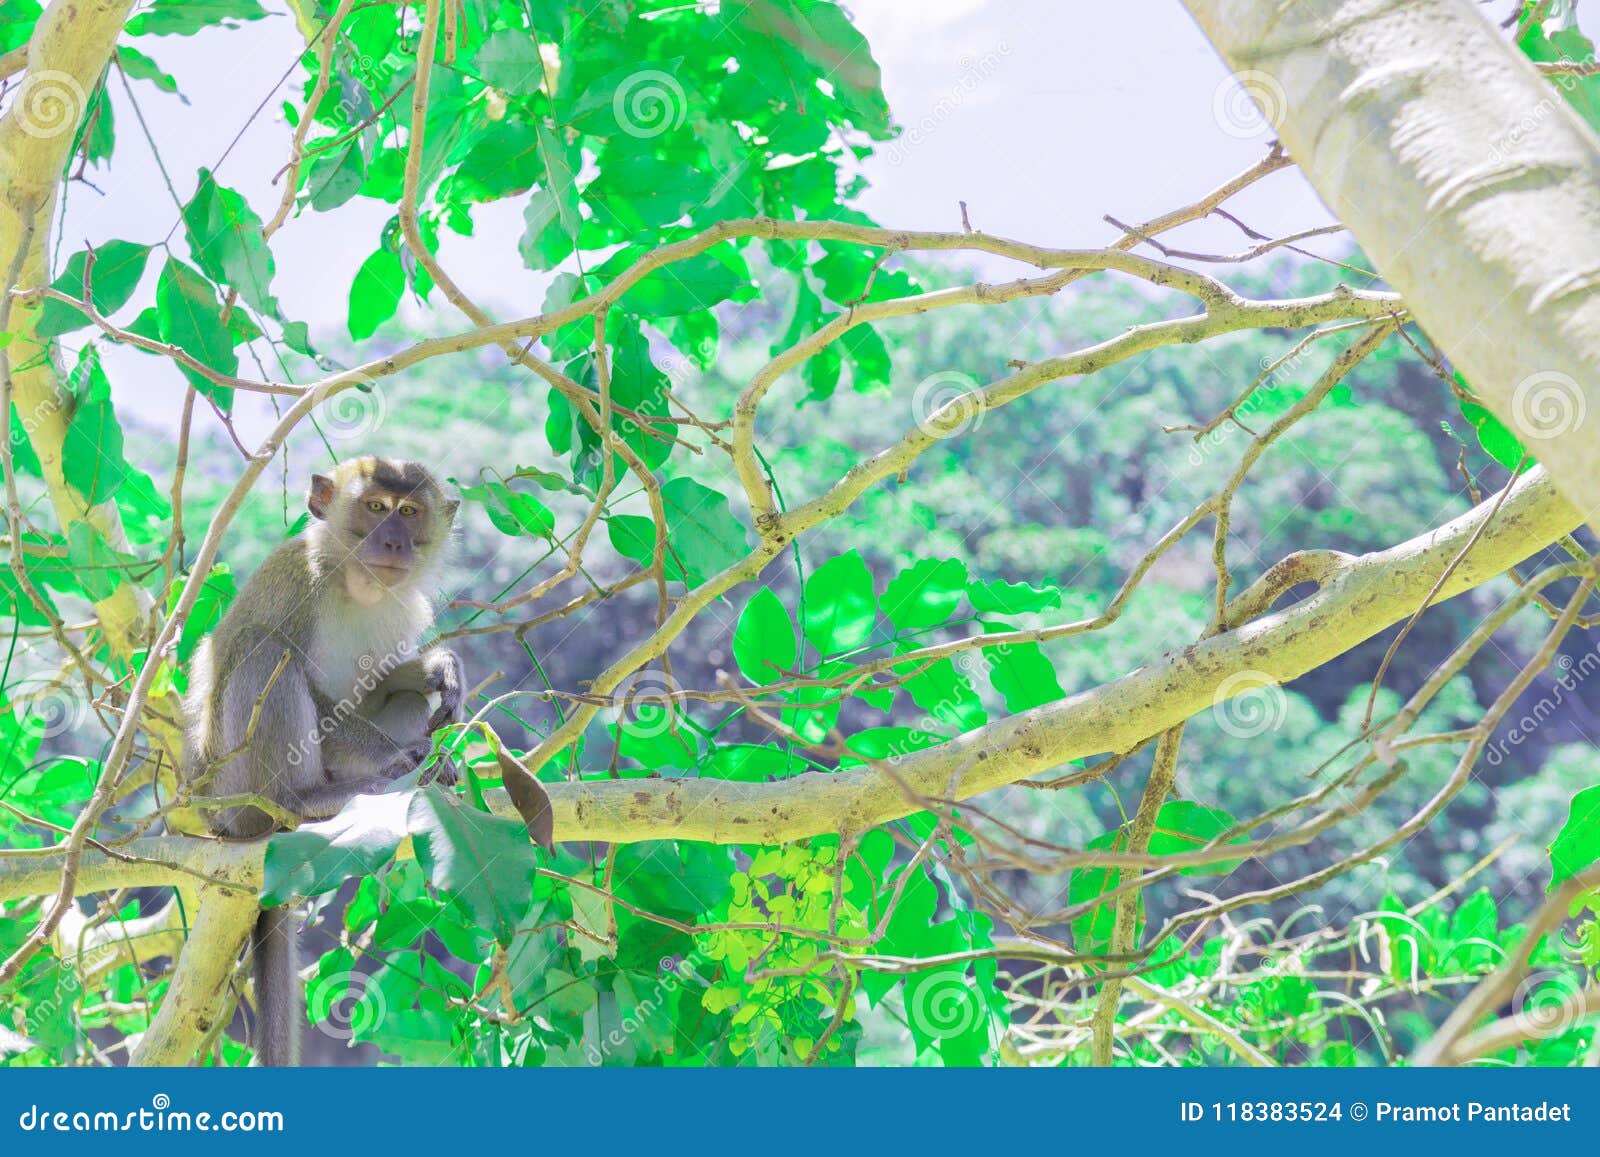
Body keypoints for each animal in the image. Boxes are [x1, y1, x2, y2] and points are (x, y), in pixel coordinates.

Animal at [183, 457, 465, 1066]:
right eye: (376, 507)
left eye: (410, 512)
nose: (394, 540)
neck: (353, 586)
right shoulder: (298, 581)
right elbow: (317, 696)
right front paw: (406, 758)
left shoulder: (406, 607)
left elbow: (384, 684)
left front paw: (440, 668)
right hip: (234, 783)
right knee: (268, 652)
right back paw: (308, 798)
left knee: (401, 700)